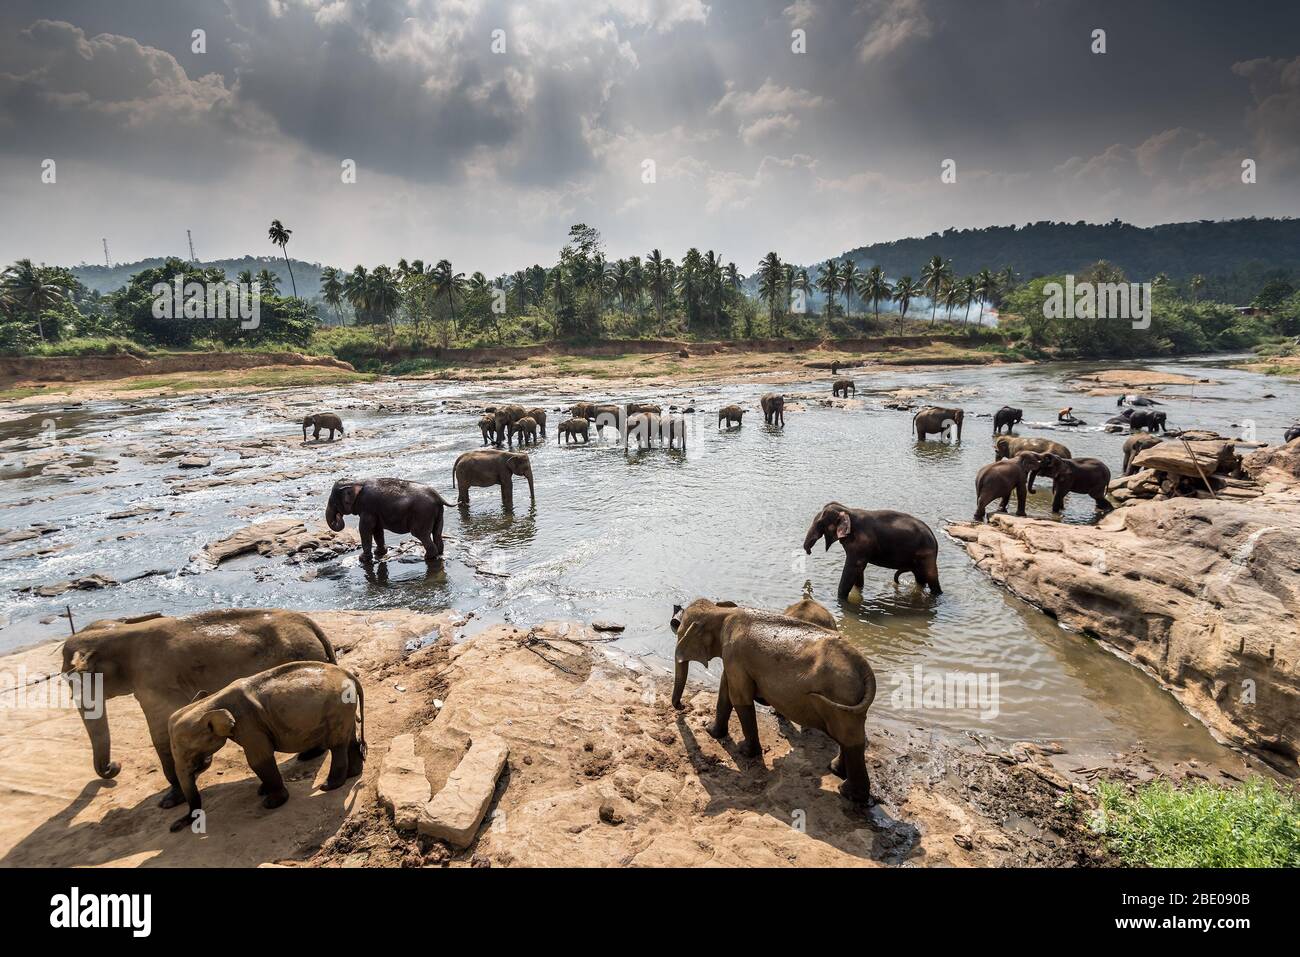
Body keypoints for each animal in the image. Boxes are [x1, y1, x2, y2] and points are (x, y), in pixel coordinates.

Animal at [59, 609, 336, 809]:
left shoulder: (156, 681)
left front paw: (170, 801)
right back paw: (306, 755)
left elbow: (160, 731)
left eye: (73, 681)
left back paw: (307, 756)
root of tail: (311, 624)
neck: (122, 630)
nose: (114, 767)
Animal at [167, 661, 365, 832]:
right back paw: (352, 774)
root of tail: (348, 674)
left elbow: (258, 759)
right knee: (349, 737)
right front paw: (262, 791)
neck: (210, 702)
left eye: (186, 750)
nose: (174, 827)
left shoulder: (249, 724)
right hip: (344, 707)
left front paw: (271, 803)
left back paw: (330, 786)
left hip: (337, 708)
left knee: (337, 744)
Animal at [669, 599, 876, 803]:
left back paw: (848, 793)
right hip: (849, 701)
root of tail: (864, 668)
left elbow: (739, 697)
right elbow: (726, 690)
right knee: (850, 736)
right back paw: (836, 772)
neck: (722, 612)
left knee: (848, 736)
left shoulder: (734, 654)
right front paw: (711, 731)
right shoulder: (733, 659)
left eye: (680, 634)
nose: (682, 706)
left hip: (840, 695)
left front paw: (745, 751)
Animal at [803, 502, 942, 600]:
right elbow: (858, 571)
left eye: (820, 523)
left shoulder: (861, 544)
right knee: (920, 579)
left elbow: (853, 567)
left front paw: (841, 599)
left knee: (931, 578)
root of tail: (934, 538)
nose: (808, 551)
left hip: (926, 555)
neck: (848, 510)